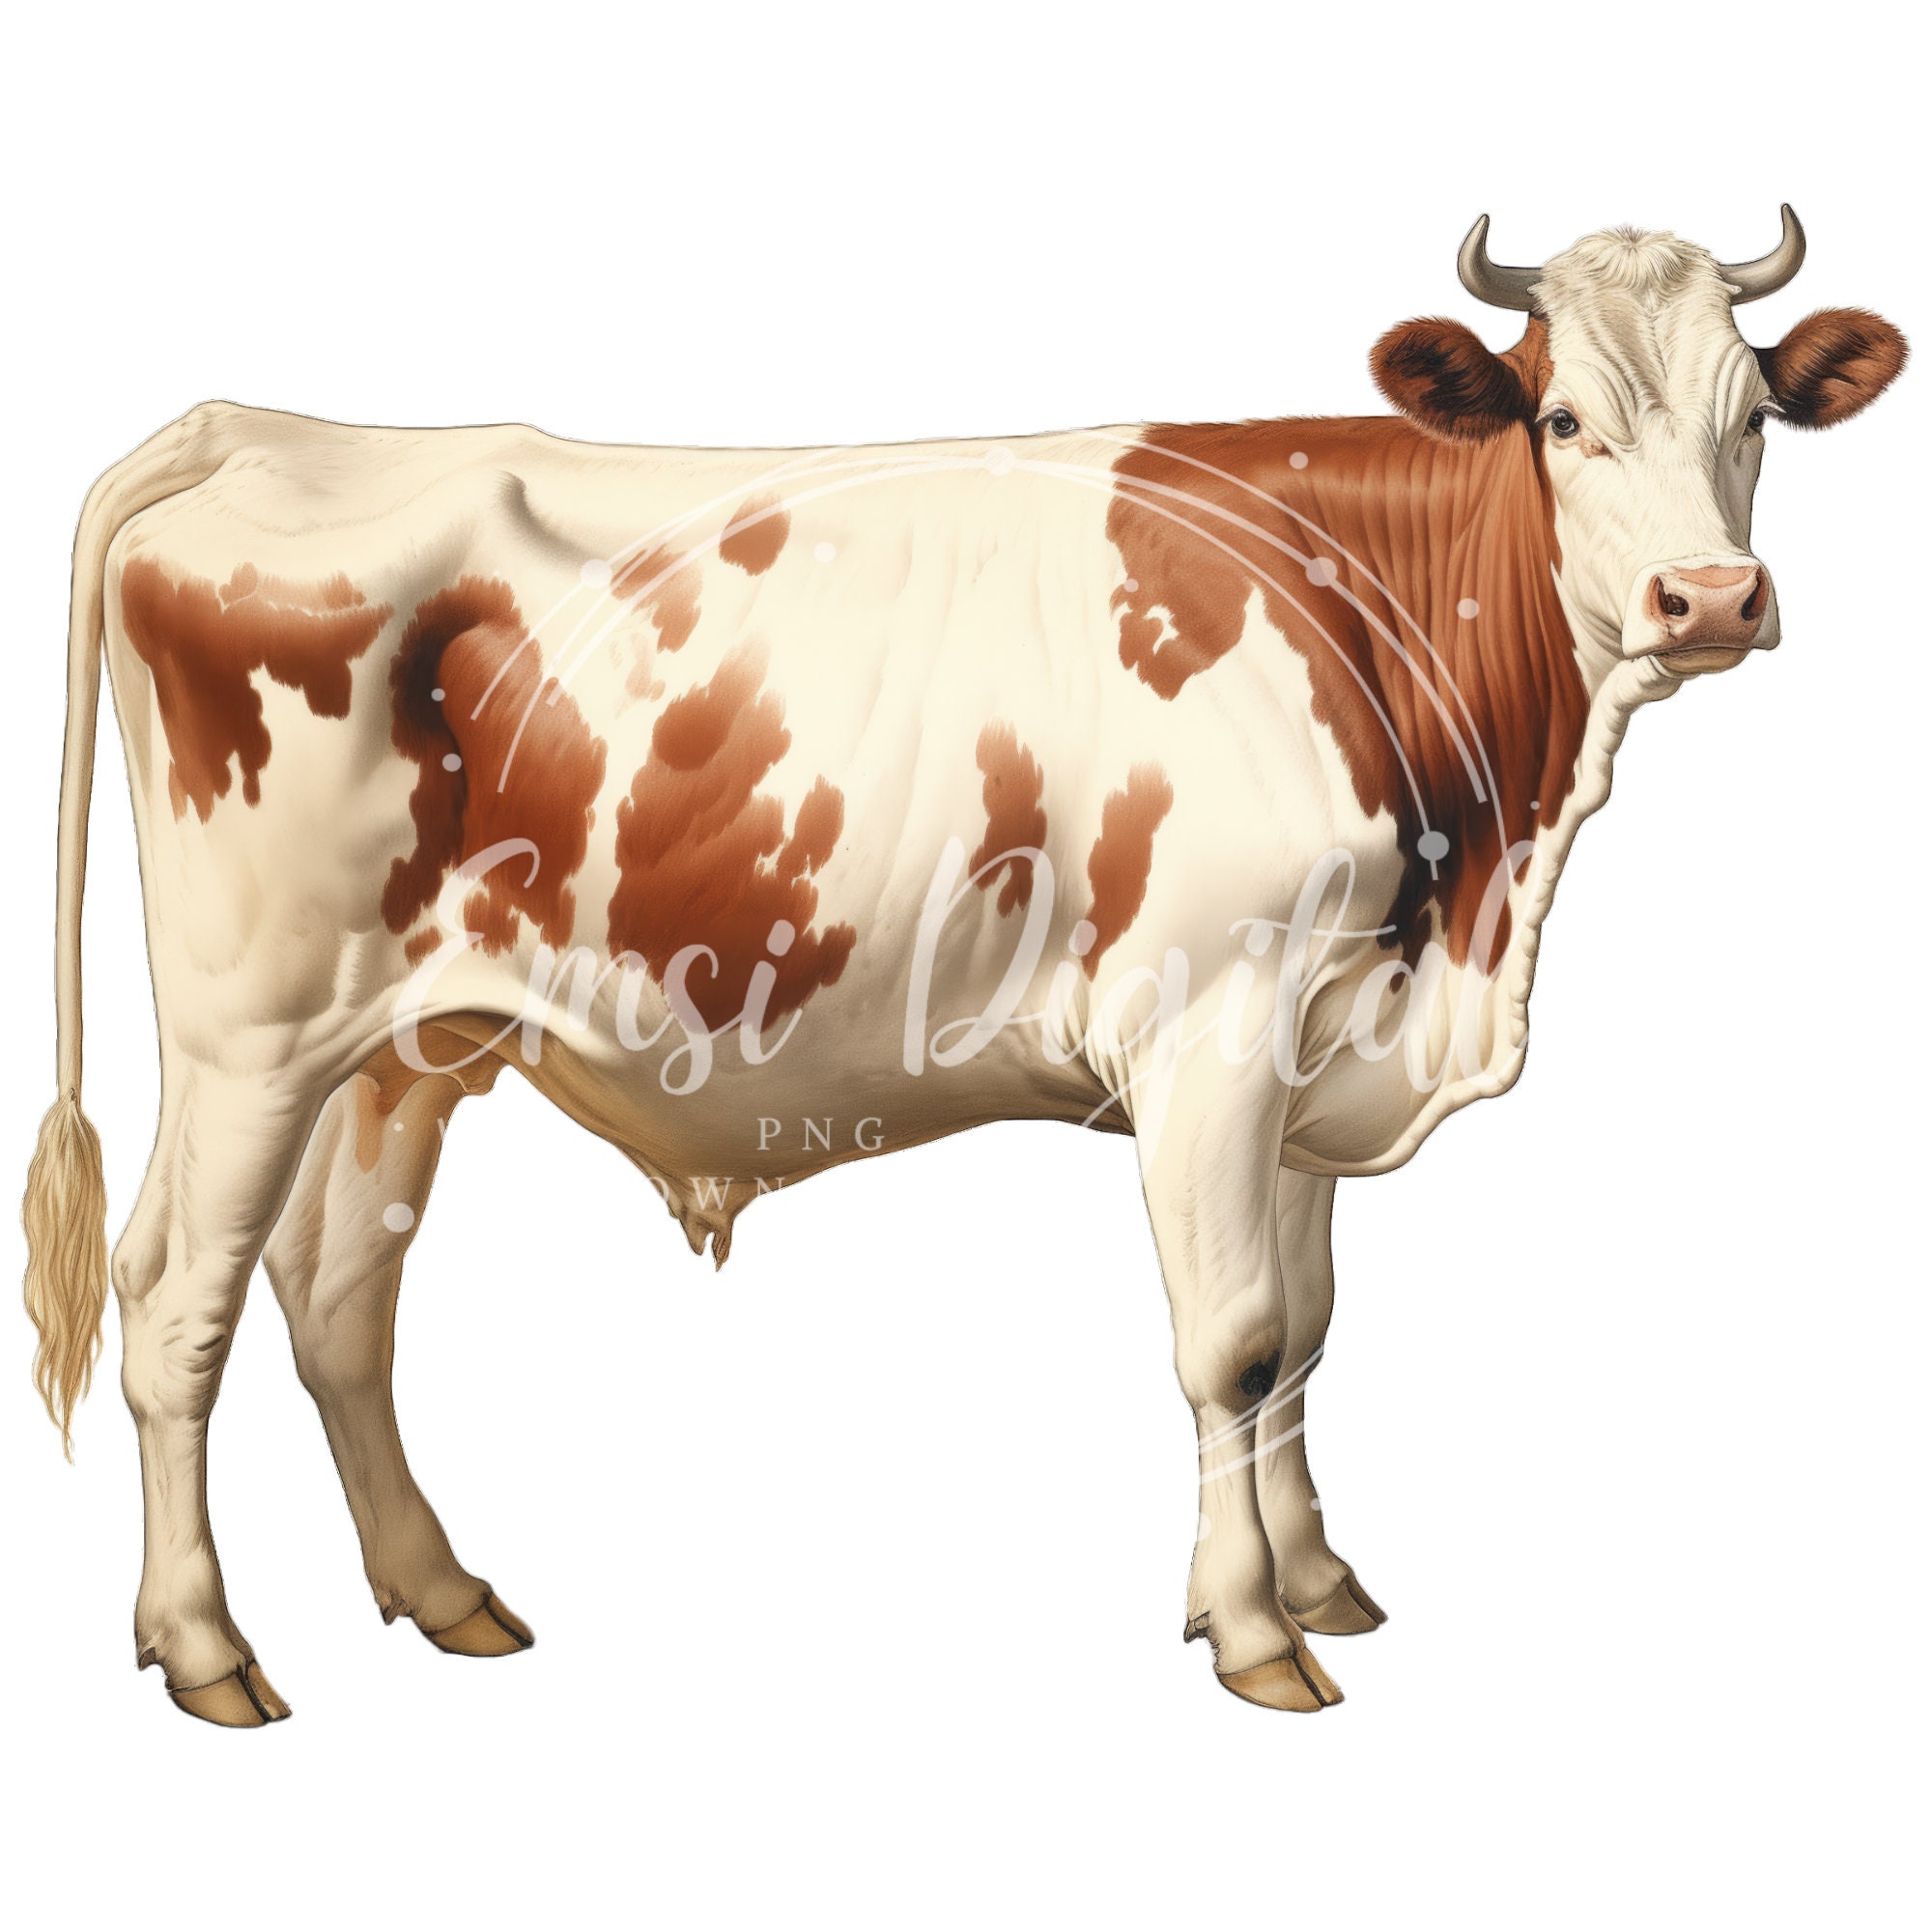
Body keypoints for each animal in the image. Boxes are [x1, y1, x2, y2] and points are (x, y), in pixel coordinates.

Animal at [21, 211, 1906, 1726]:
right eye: (1567, 420)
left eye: (1756, 420)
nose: (1711, 598)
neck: (1481, 880)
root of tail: (257, 431)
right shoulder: (1210, 1031)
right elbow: (1230, 1341)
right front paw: (1254, 1634)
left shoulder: (1316, 1034)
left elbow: (1304, 1331)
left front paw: (1316, 1580)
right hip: (248, 1030)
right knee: (174, 1300)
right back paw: (206, 1650)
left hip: (405, 1041)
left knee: (336, 1294)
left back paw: (443, 1593)